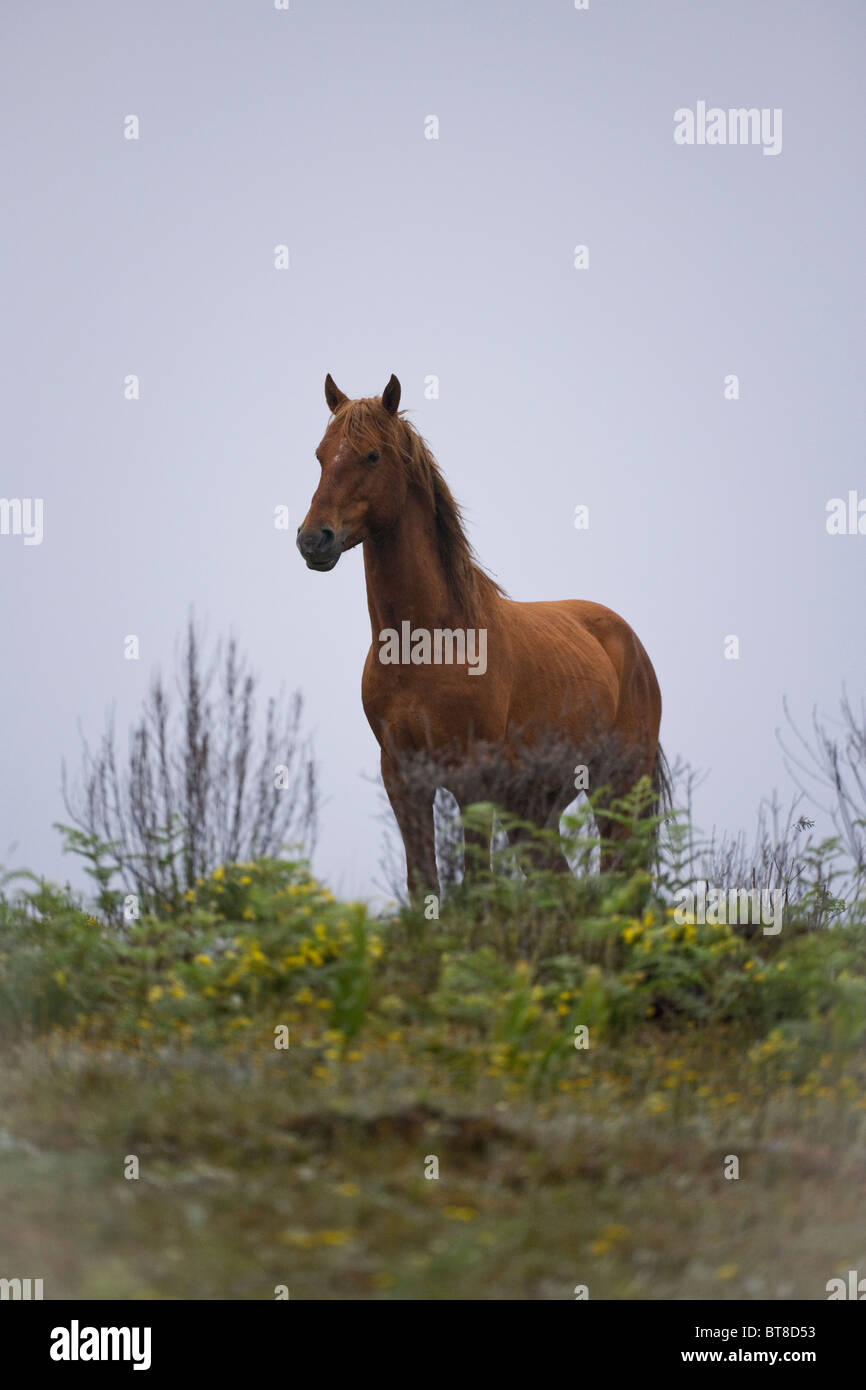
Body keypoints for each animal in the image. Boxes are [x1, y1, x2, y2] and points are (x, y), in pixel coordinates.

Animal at [297, 373, 668, 898]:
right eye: (320, 454)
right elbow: (423, 885)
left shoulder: (471, 782)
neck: (426, 644)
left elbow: (477, 886)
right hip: (535, 806)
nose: (314, 540)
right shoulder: (404, 781)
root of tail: (628, 641)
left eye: (372, 455)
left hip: (617, 786)